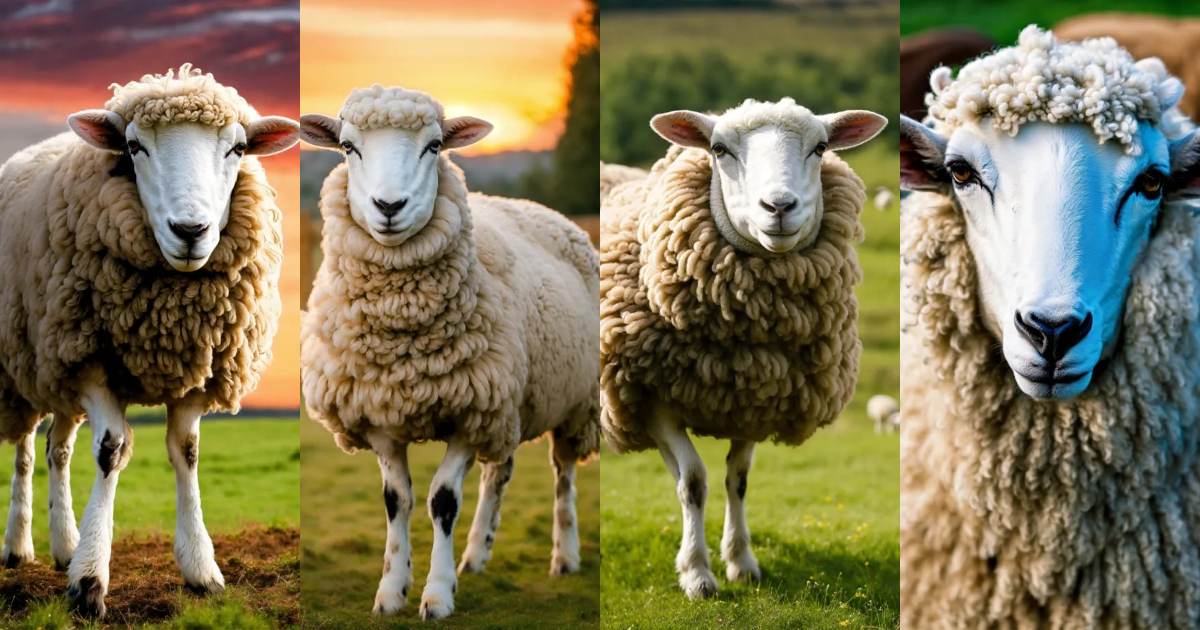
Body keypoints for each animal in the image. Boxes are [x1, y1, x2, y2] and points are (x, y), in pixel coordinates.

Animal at [0, 64, 299, 618]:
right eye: (134, 147)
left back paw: (63, 545)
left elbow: (187, 452)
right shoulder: (93, 361)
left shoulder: (200, 368)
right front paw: (90, 580)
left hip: (58, 370)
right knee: (27, 450)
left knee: (57, 449)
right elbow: (111, 451)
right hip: (26, 362)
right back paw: (18, 546)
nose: (190, 230)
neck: (168, 316)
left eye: (238, 148)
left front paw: (201, 569)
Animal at [298, 85, 599, 621]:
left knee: (562, 476)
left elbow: (442, 501)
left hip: (571, 403)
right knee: (500, 472)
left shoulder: (469, 412)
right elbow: (396, 499)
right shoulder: (381, 417)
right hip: (510, 402)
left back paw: (565, 556)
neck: (404, 334)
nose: (389, 205)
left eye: (434, 146)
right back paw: (476, 555)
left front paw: (436, 595)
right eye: (348, 147)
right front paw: (392, 590)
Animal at [600, 98, 886, 599]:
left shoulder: (757, 394)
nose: (779, 206)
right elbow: (694, 481)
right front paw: (697, 573)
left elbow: (738, 480)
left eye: (821, 147)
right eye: (718, 149)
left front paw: (740, 561)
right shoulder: (649, 397)